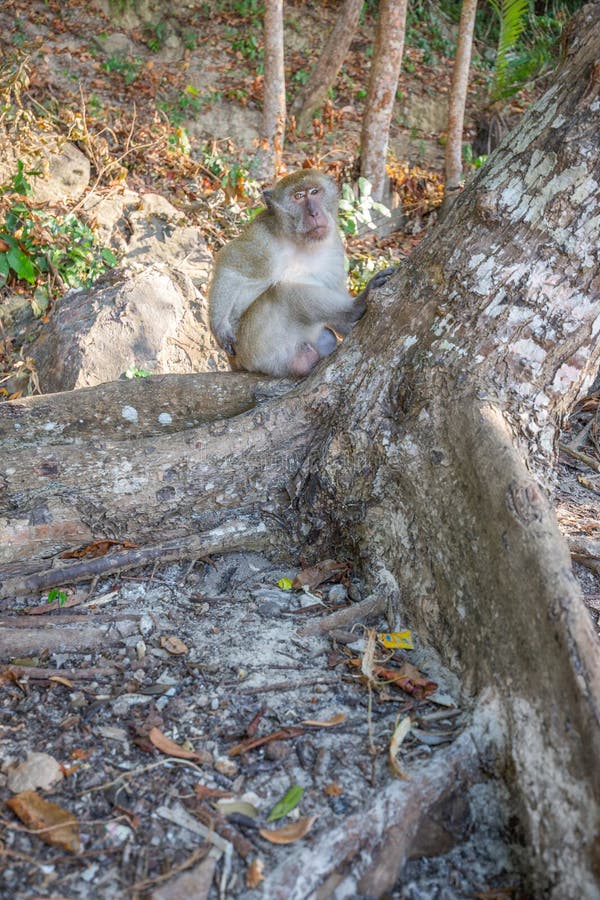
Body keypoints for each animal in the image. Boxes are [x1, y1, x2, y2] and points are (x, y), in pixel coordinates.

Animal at [208, 169, 392, 378]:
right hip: (256, 346)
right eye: (299, 196)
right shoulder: (262, 240)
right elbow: (229, 265)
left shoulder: (334, 244)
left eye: (314, 192)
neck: (300, 242)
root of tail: (236, 364)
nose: (314, 213)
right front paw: (220, 329)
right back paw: (355, 307)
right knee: (284, 293)